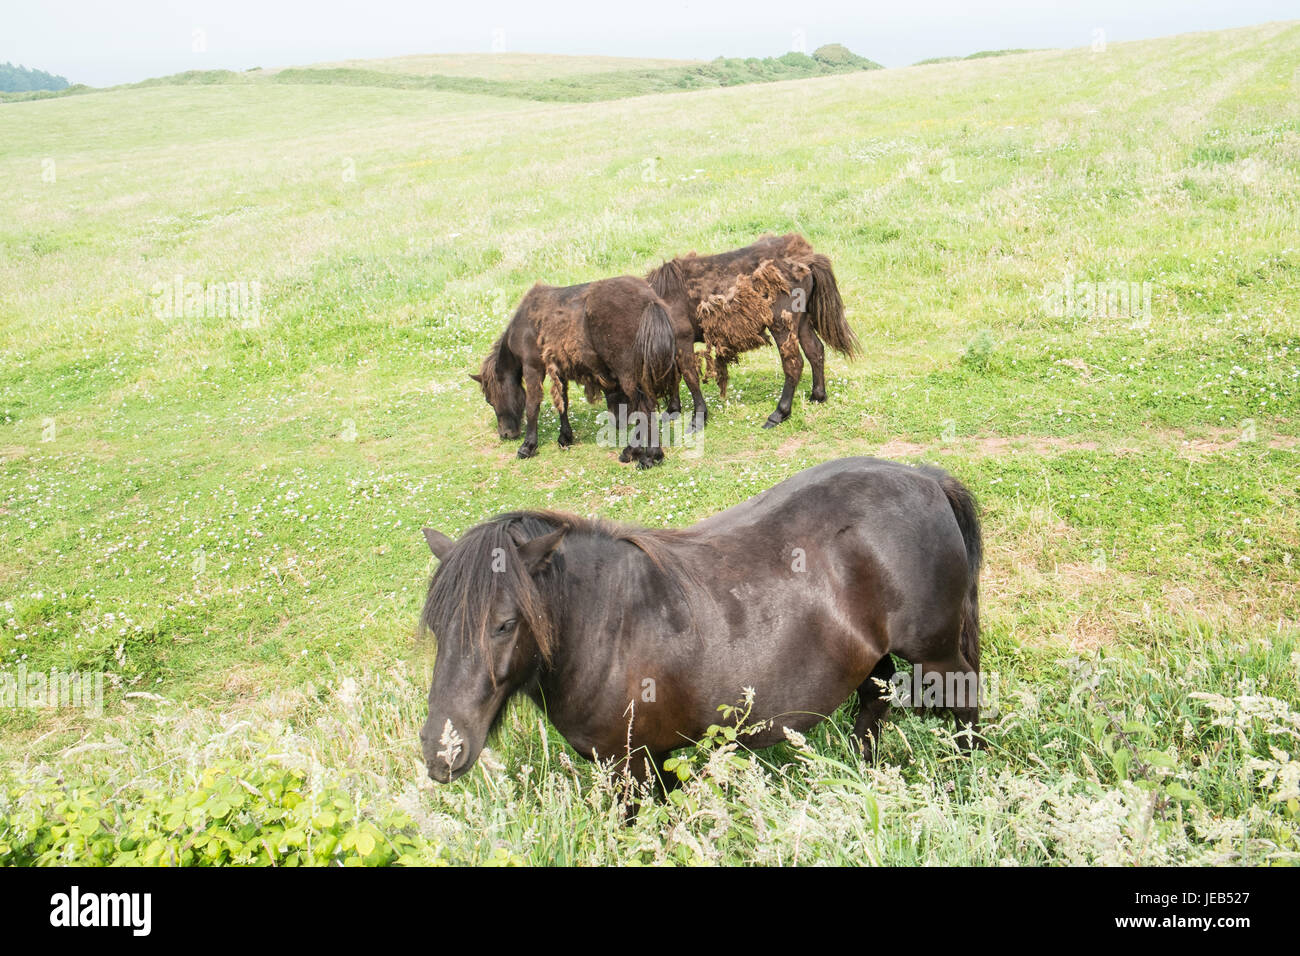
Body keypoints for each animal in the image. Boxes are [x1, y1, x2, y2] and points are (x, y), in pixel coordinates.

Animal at [417, 457, 982, 794]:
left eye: (504, 625)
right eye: (437, 630)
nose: (440, 751)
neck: (607, 629)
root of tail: (925, 477)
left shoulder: (634, 766)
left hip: (936, 655)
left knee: (965, 705)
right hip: (873, 659)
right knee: (873, 705)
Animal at [472, 276, 705, 469]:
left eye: (490, 399)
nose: (506, 434)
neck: (524, 325)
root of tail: (650, 301)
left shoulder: (533, 368)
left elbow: (532, 406)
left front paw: (527, 446)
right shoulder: (560, 369)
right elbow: (563, 403)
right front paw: (565, 437)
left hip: (629, 374)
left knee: (644, 409)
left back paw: (645, 456)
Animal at [647, 233, 859, 428]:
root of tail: (806, 260)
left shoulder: (682, 339)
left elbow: (689, 375)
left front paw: (698, 417)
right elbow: (674, 374)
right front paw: (673, 410)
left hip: (781, 324)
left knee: (794, 363)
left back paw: (779, 414)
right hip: (802, 321)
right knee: (815, 351)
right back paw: (818, 396)